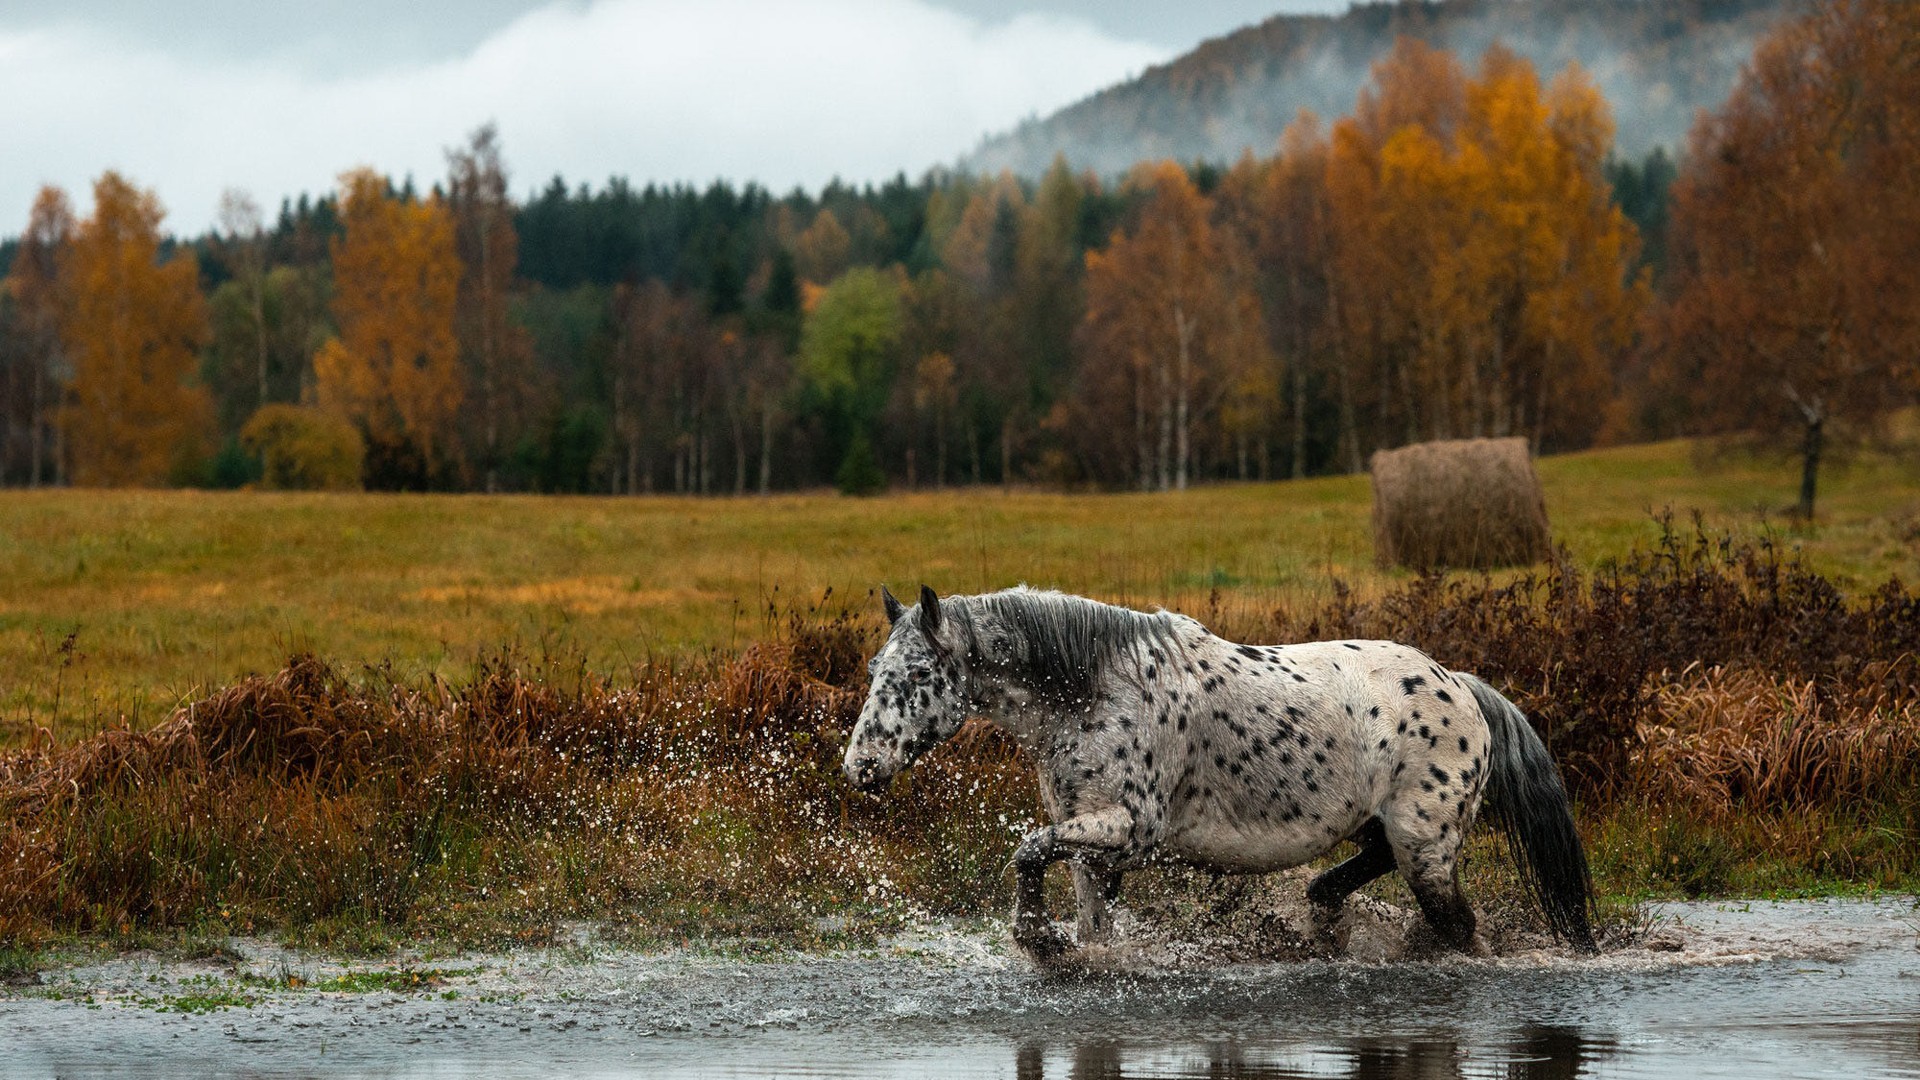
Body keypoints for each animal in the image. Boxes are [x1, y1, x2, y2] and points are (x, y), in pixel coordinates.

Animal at [842, 585, 1596, 960]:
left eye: (917, 675)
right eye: (876, 669)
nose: (860, 769)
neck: (1094, 689)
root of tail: (1461, 686)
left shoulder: (1130, 829)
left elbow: (1027, 850)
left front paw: (1035, 937)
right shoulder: (1092, 844)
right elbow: (1081, 912)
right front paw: (1056, 946)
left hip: (1427, 847)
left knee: (1459, 929)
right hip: (1389, 831)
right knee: (1368, 868)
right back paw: (1322, 913)